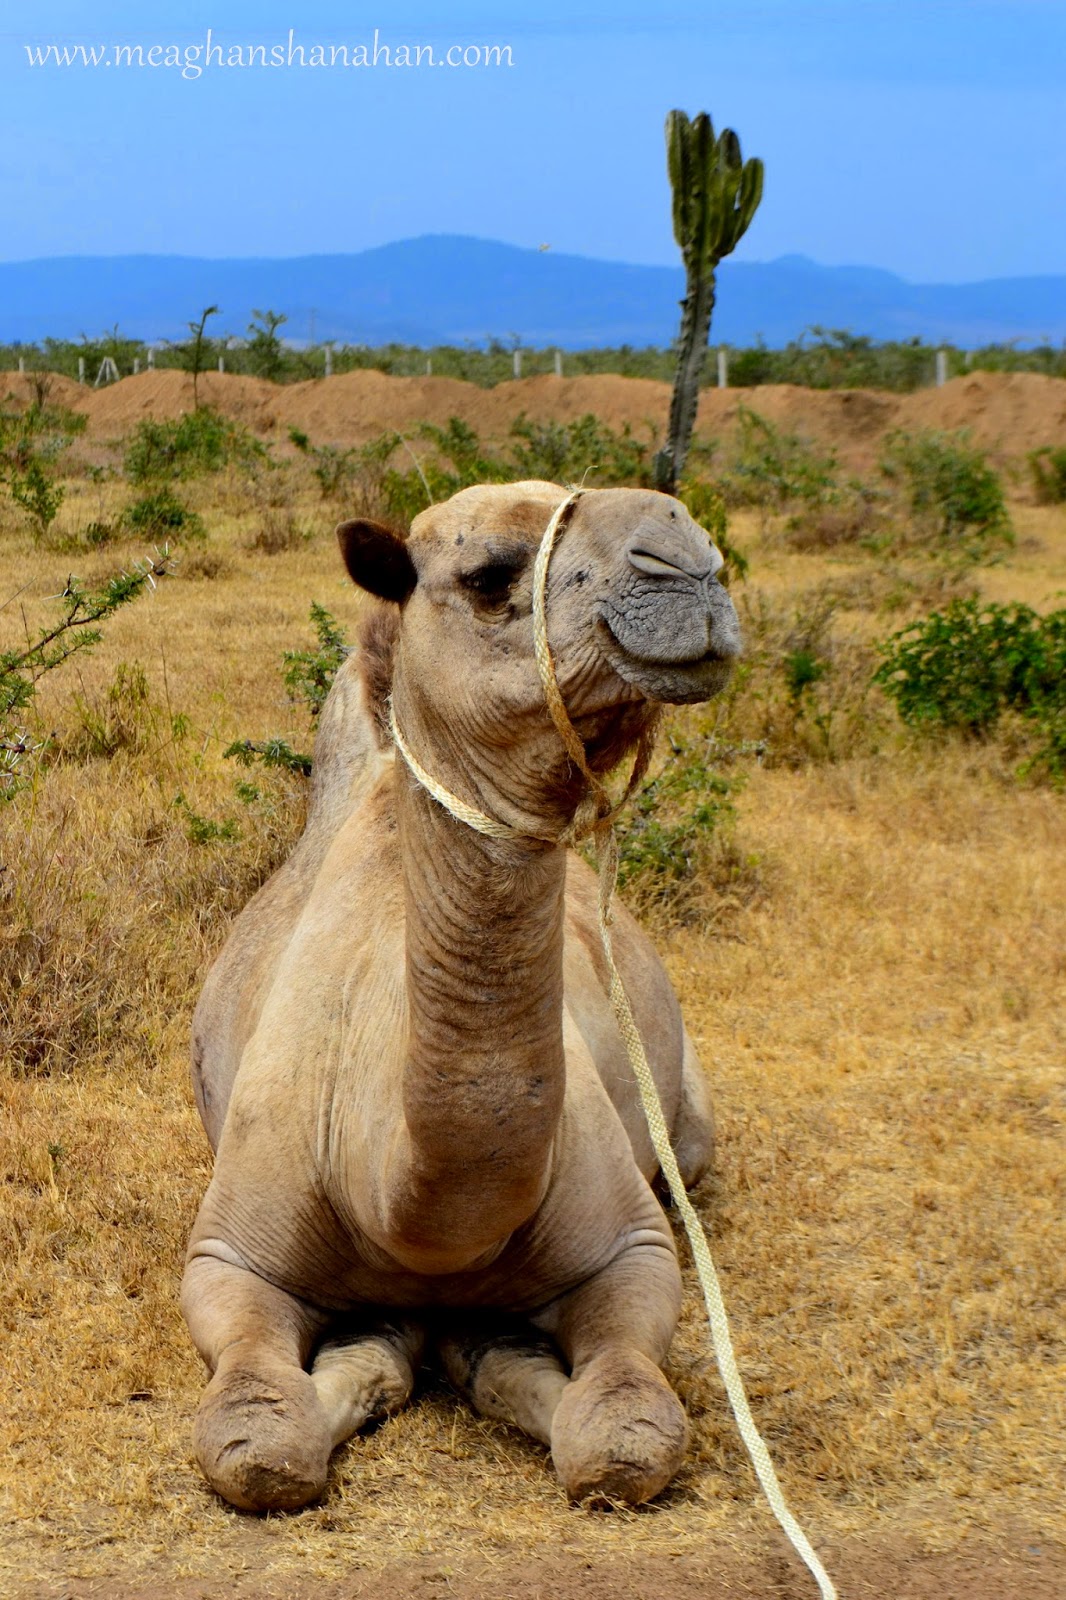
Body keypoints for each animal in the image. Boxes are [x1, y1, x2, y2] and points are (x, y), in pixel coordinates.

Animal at [182, 480, 741, 1513]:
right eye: (487, 575)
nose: (691, 564)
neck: (400, 1196)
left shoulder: (635, 1249)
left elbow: (623, 1434)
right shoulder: (227, 1259)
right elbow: (258, 1440)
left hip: (690, 1129)